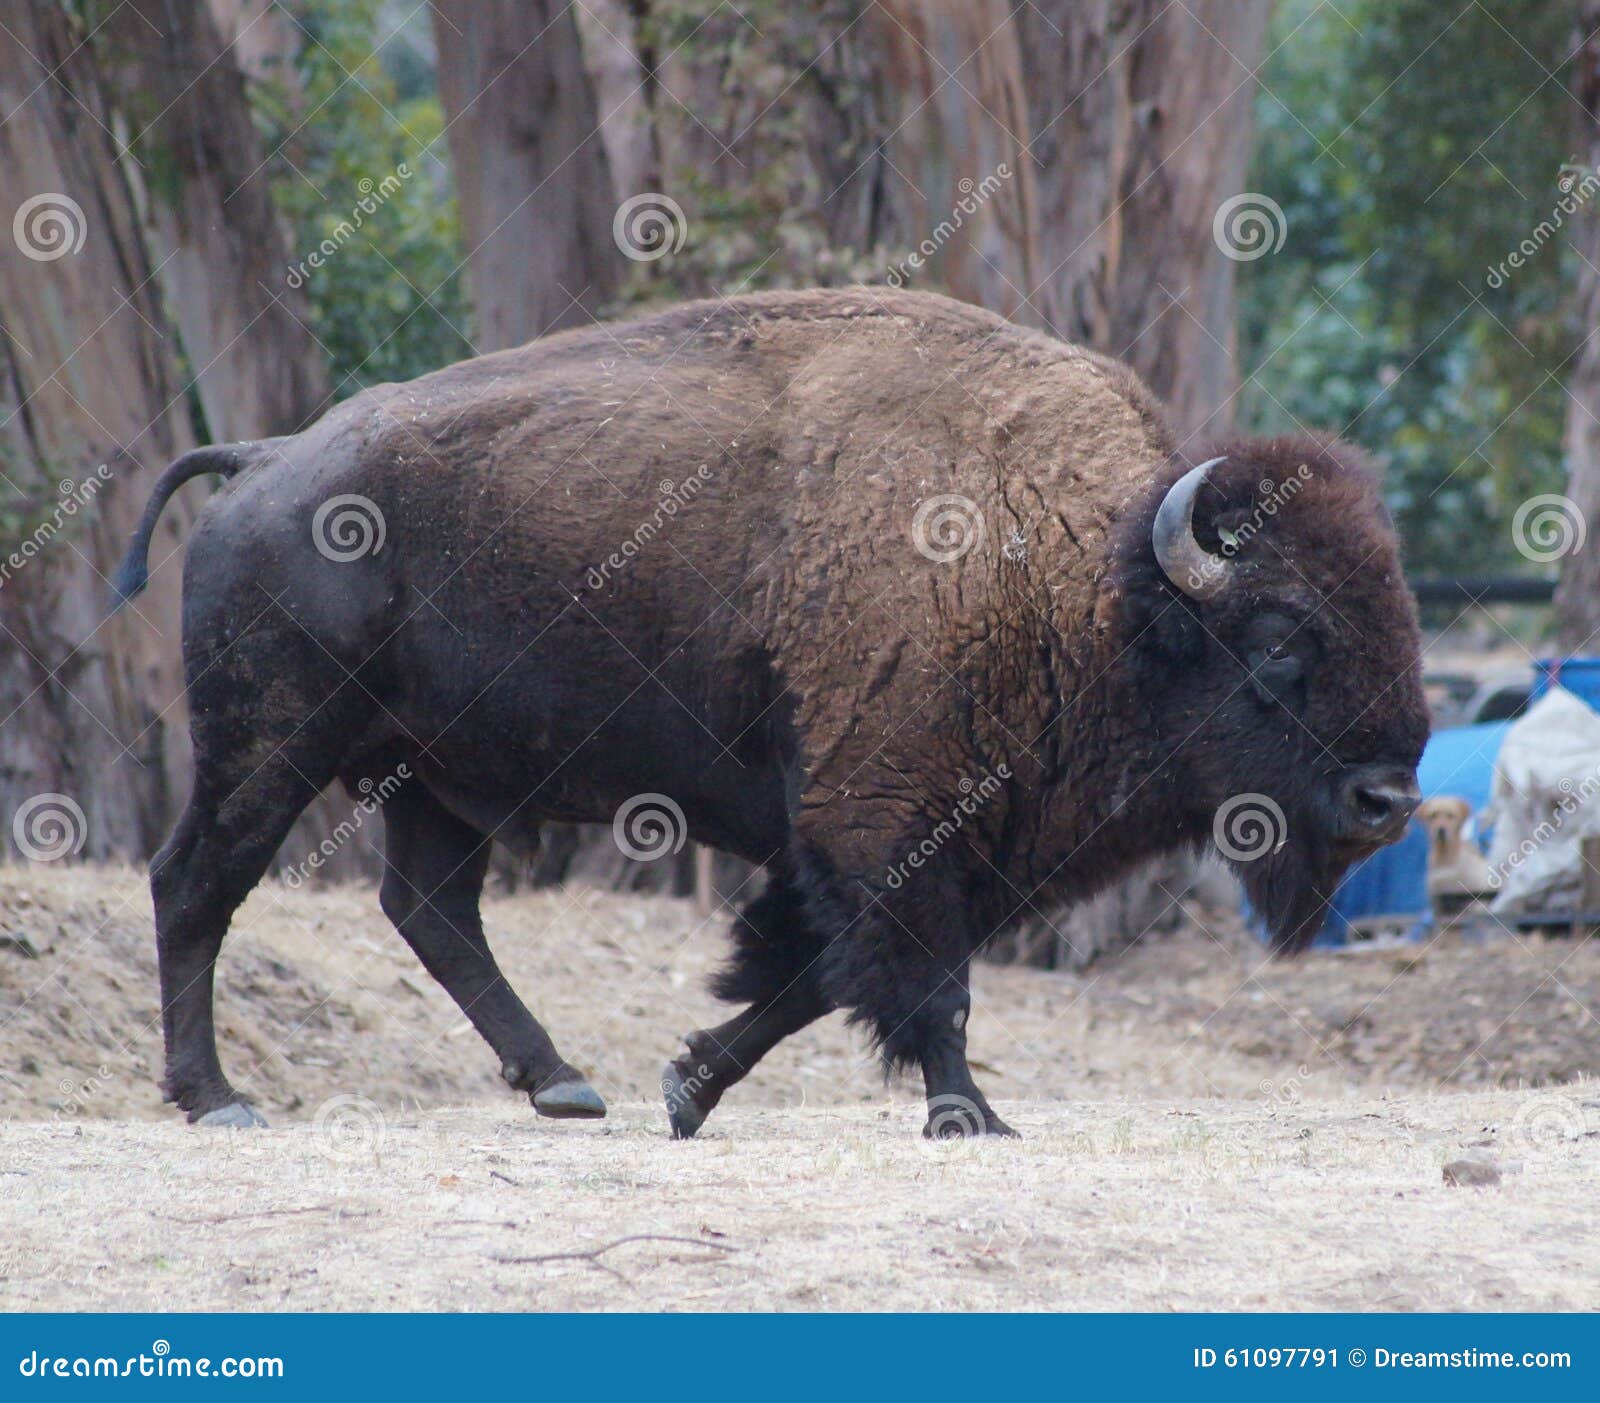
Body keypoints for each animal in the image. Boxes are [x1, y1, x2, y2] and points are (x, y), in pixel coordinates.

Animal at [111, 287, 1428, 1139]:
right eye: (1278, 639)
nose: (1387, 798)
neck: (1077, 574)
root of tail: (266, 457)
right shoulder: (886, 824)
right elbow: (914, 980)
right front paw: (969, 1112)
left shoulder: (896, 846)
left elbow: (810, 980)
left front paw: (687, 1085)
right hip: (275, 744)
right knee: (198, 881)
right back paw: (216, 1097)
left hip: (438, 777)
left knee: (431, 908)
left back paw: (563, 1082)